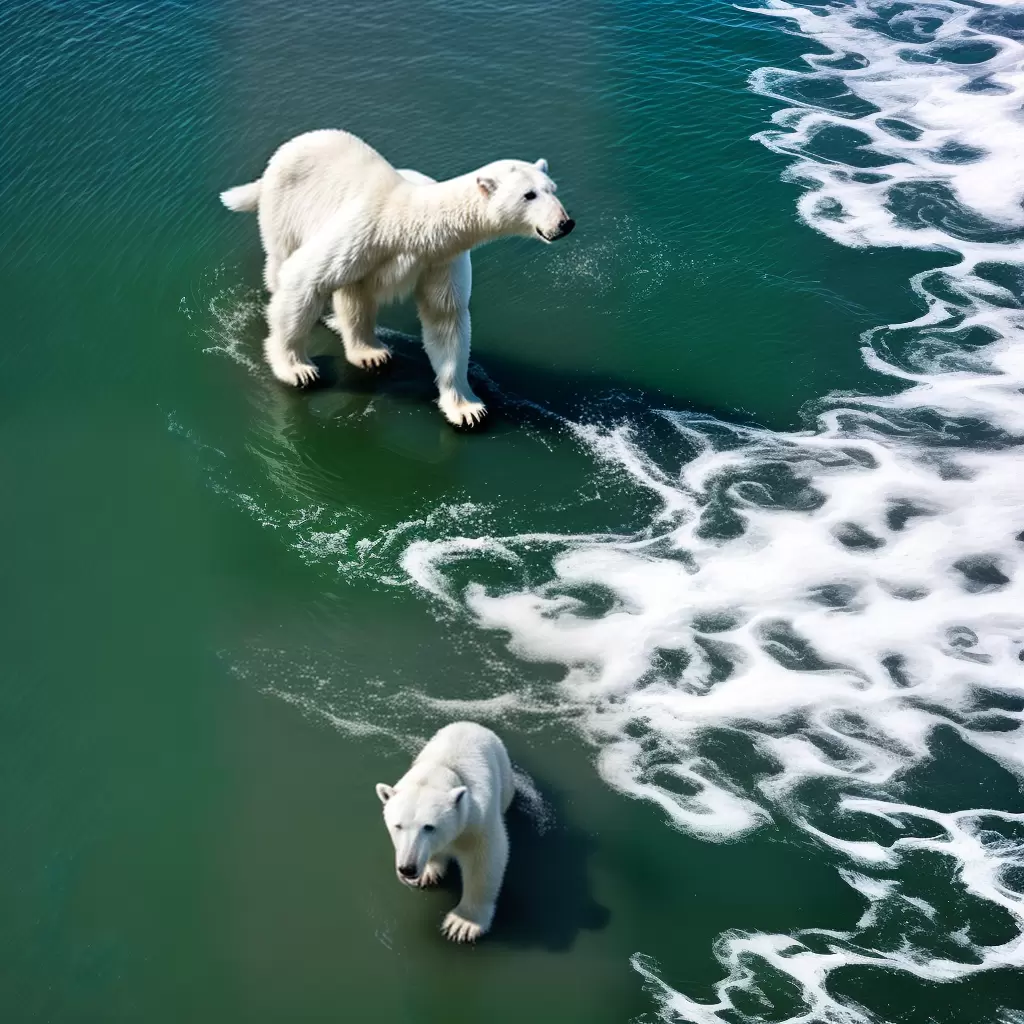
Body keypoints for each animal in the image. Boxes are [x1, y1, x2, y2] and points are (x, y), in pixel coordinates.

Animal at [220, 129, 575, 427]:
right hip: (286, 210)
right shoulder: (364, 231)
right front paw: (296, 369)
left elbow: (445, 319)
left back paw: (370, 352)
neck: (411, 225)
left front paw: (466, 409)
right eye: (529, 195)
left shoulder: (439, 260)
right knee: (284, 265)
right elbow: (305, 277)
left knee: (355, 296)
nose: (565, 223)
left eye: (552, 189)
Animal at [375, 721, 514, 942]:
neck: (440, 769)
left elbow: (485, 858)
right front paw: (428, 871)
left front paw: (462, 924)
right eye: (398, 826)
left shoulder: (477, 820)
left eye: (429, 826)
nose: (407, 869)